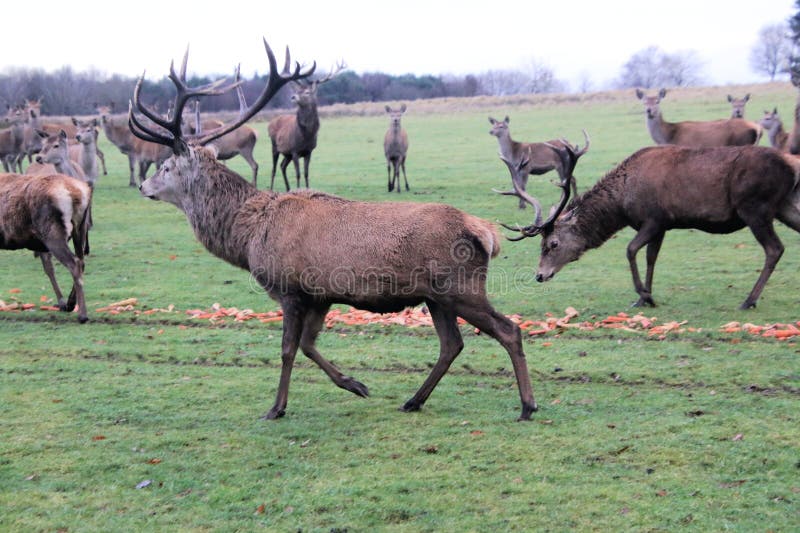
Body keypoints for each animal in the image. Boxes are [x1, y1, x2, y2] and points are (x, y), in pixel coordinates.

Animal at [0, 172, 91, 322]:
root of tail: (76, 193)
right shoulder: (39, 245)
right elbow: (49, 269)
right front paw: (61, 303)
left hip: (52, 232)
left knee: (74, 263)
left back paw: (82, 315)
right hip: (80, 229)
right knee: (82, 261)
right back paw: (70, 303)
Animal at [268, 56, 346, 190]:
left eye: (307, 92)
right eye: (298, 90)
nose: (293, 97)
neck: (306, 135)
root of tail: (270, 123)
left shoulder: (308, 151)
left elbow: (306, 173)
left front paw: (307, 189)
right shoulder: (294, 150)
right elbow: (298, 174)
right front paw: (299, 190)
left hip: (287, 154)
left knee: (282, 166)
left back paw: (288, 188)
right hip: (274, 146)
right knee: (273, 169)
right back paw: (272, 189)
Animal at [501, 143, 800, 310]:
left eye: (552, 244)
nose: (540, 275)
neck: (622, 204)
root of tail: (791, 164)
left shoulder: (654, 218)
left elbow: (631, 250)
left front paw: (644, 294)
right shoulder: (663, 225)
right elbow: (651, 257)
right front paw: (645, 297)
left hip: (755, 207)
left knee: (775, 248)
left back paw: (749, 300)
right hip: (785, 205)